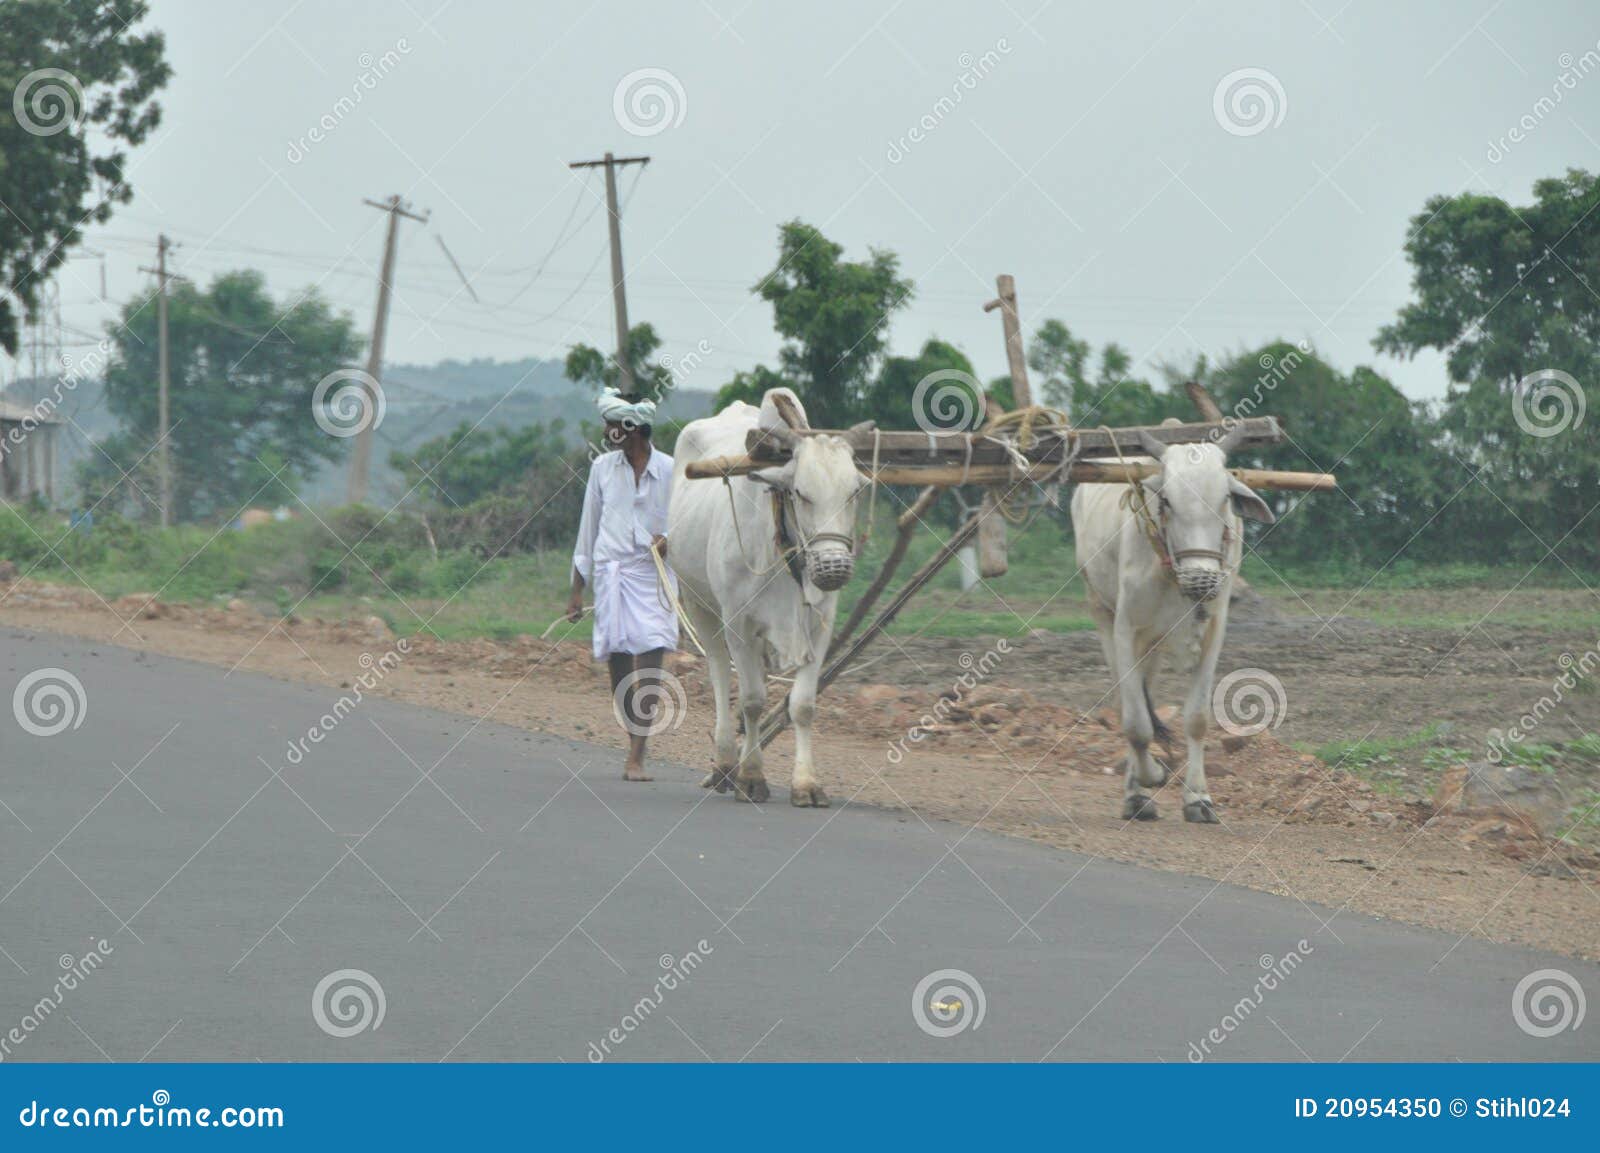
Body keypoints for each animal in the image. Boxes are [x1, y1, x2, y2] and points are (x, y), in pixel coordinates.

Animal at [668, 389, 867, 807]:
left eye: (855, 491)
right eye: (801, 493)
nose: (835, 567)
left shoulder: (820, 625)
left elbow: (803, 705)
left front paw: (806, 783)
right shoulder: (738, 623)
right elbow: (752, 700)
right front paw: (752, 778)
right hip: (699, 603)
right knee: (719, 673)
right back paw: (726, 765)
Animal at [1069, 423, 1275, 823]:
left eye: (1225, 498)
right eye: (1166, 500)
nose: (1200, 580)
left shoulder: (1213, 630)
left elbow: (1196, 718)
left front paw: (1198, 798)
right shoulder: (1125, 628)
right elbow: (1136, 723)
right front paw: (1149, 778)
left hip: (1152, 642)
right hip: (1101, 609)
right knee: (1127, 702)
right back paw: (1137, 791)